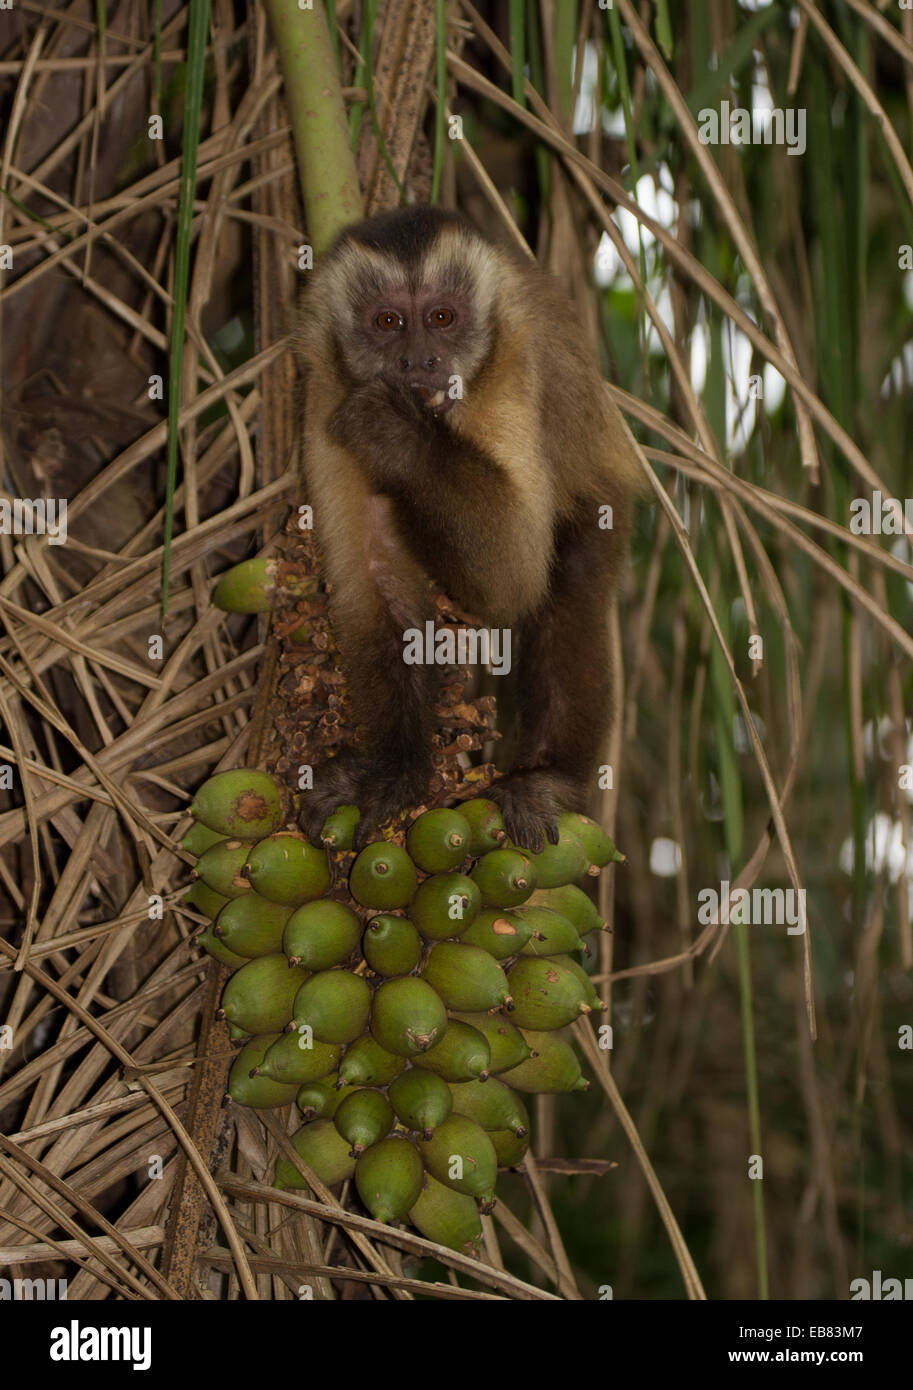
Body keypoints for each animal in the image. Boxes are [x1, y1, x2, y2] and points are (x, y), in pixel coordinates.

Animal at [294, 205, 641, 853]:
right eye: (388, 322)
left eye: (441, 317)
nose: (418, 362)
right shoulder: (326, 398)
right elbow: (375, 578)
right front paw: (396, 767)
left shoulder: (510, 369)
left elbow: (512, 578)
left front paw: (400, 438)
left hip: (603, 479)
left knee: (571, 585)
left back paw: (547, 779)